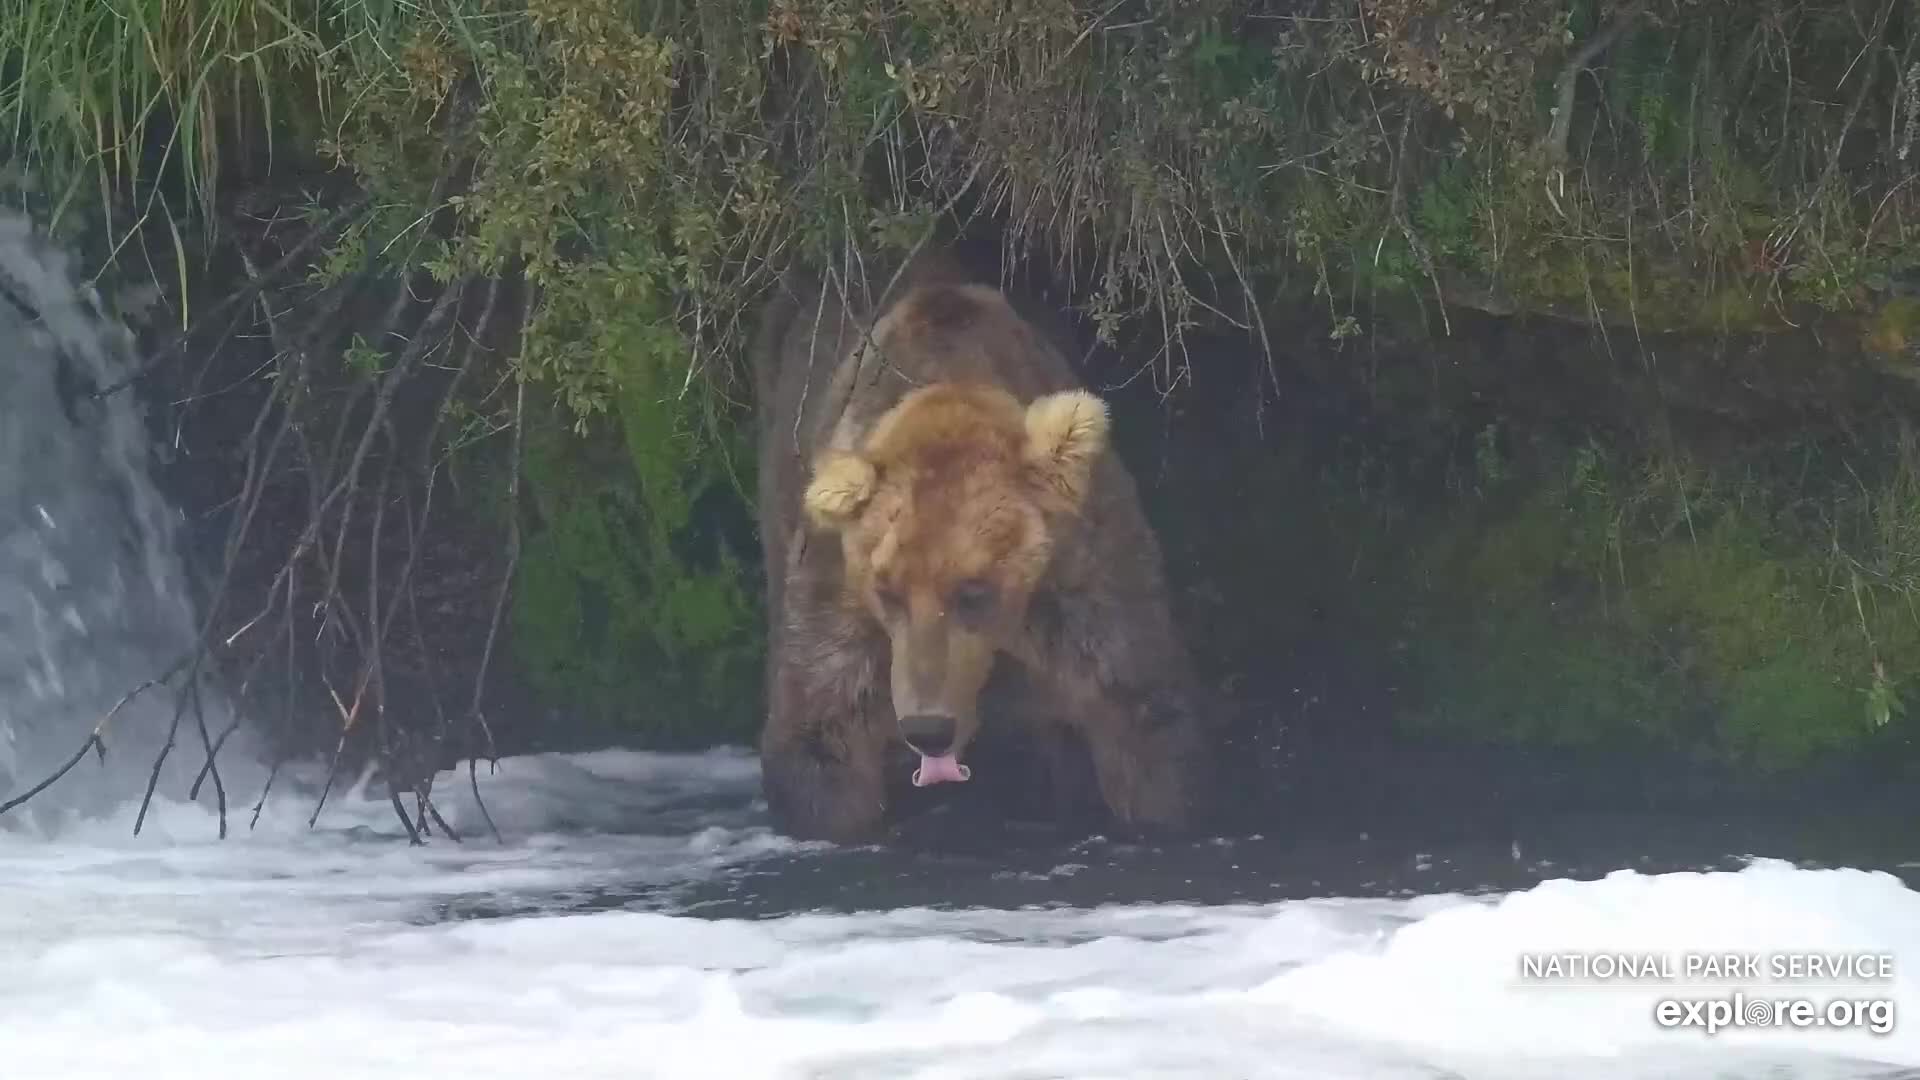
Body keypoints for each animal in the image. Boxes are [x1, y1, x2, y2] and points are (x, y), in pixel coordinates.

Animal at [749, 252, 1214, 844]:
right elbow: (820, 723)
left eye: (973, 590)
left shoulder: (1081, 575)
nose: (927, 728)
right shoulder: (840, 589)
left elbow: (1141, 703)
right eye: (888, 591)